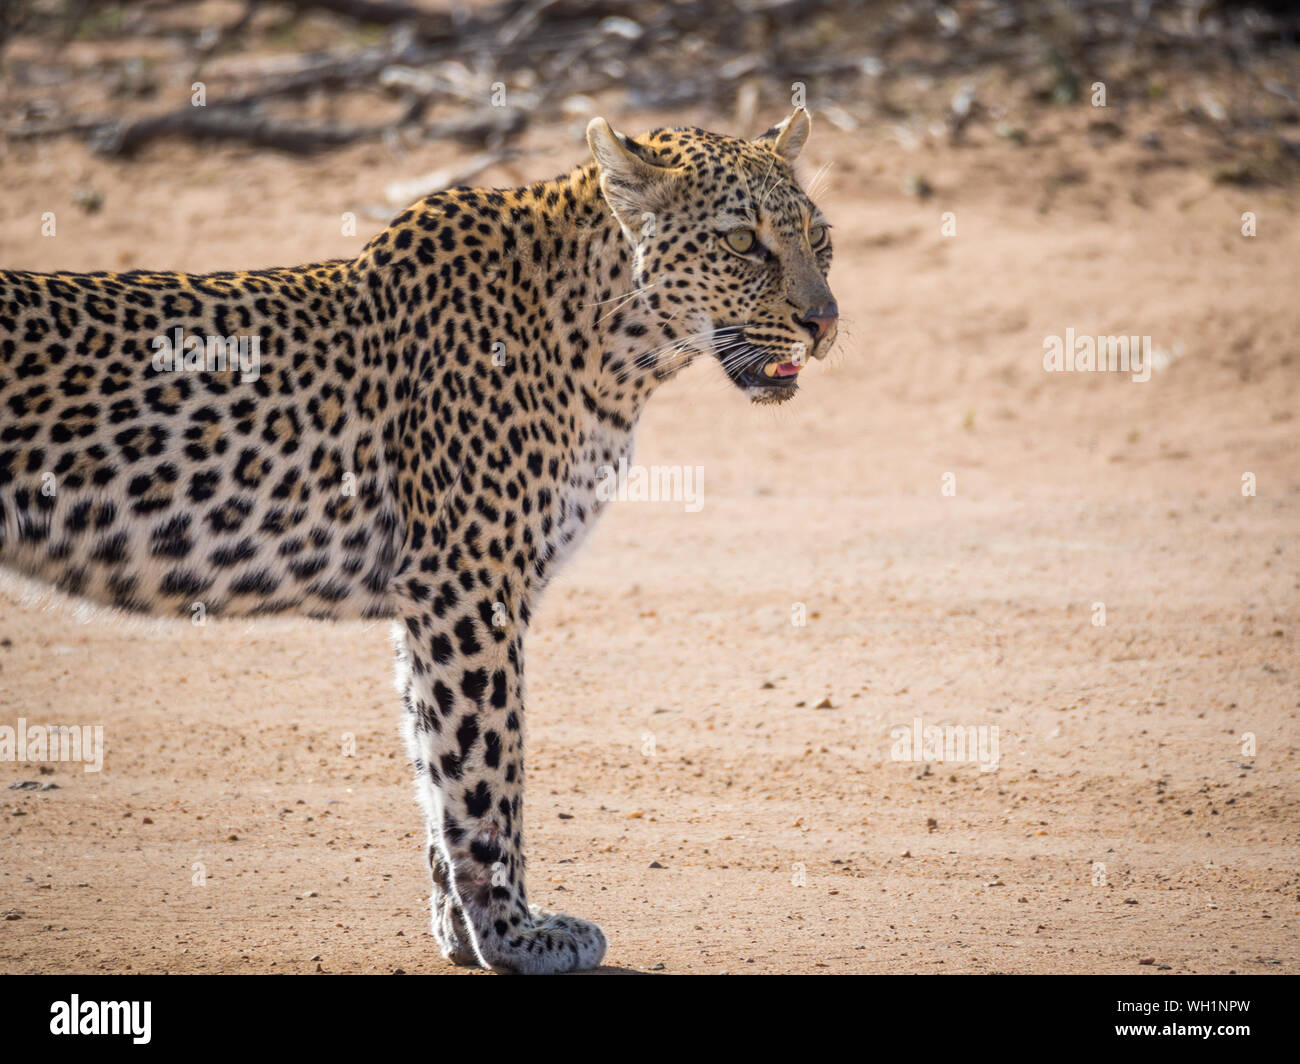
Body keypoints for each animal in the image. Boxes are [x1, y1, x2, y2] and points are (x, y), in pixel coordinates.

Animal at [0, 109, 838, 973]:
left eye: (820, 238)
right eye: (741, 242)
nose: (825, 323)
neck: (615, 350)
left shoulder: (431, 594)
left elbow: (435, 759)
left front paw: (461, 933)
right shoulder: (469, 582)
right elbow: (486, 764)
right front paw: (513, 932)